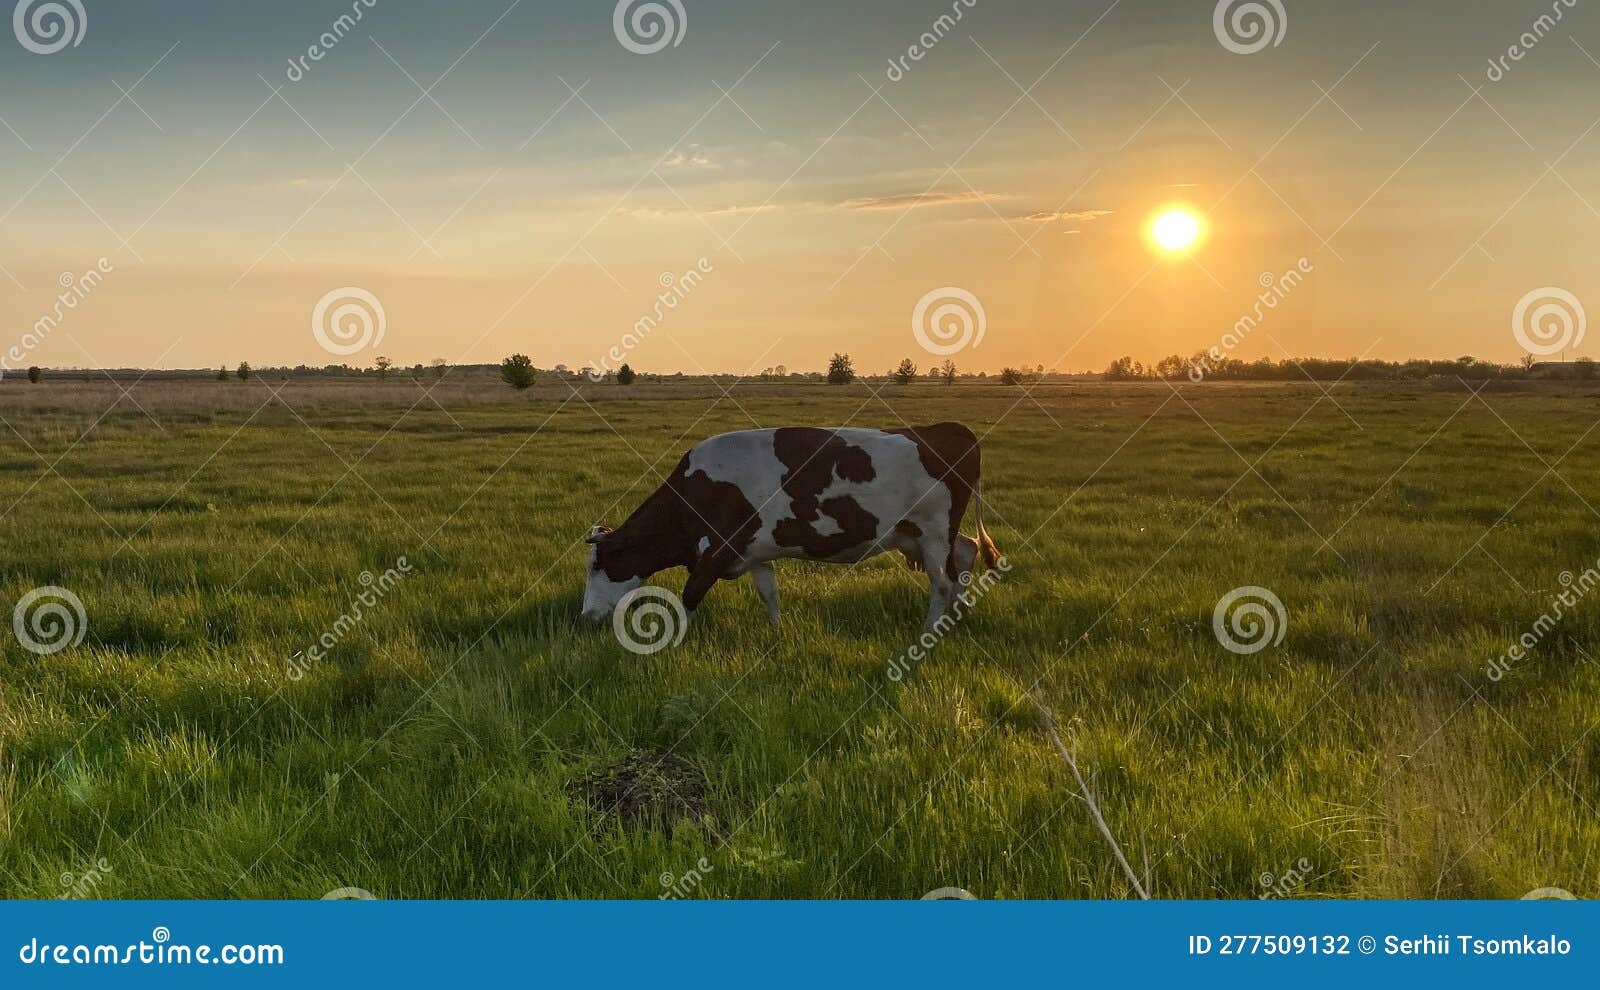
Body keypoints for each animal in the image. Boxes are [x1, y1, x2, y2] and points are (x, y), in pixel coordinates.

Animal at [581, 423, 1000, 633]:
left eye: (598, 565)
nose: (585, 617)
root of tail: (949, 428)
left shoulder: (716, 552)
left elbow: (689, 596)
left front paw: (676, 638)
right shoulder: (752, 553)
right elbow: (768, 592)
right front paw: (777, 631)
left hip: (933, 532)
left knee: (941, 582)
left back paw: (930, 629)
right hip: (925, 534)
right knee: (965, 551)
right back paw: (957, 616)